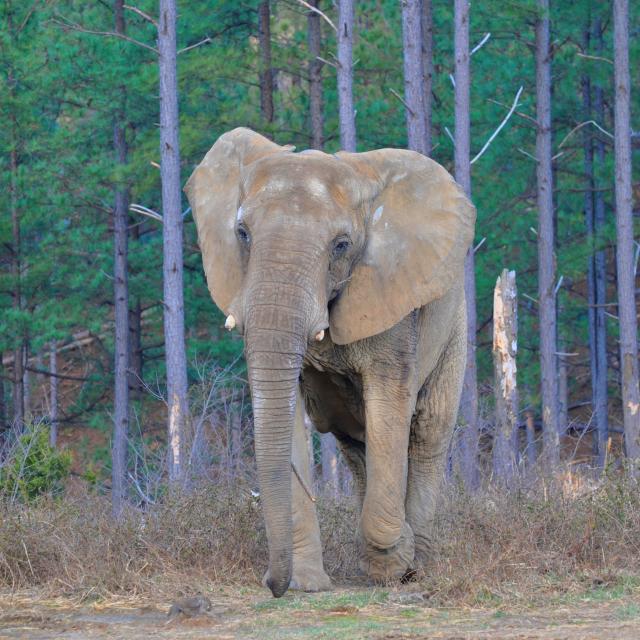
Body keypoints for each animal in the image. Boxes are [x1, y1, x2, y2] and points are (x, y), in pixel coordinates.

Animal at [185, 128, 476, 598]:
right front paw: (307, 584)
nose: (272, 584)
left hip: (454, 325)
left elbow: (391, 408)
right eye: (242, 233)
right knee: (355, 441)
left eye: (341, 245)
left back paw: (420, 565)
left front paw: (395, 565)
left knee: (427, 431)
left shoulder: (390, 298)